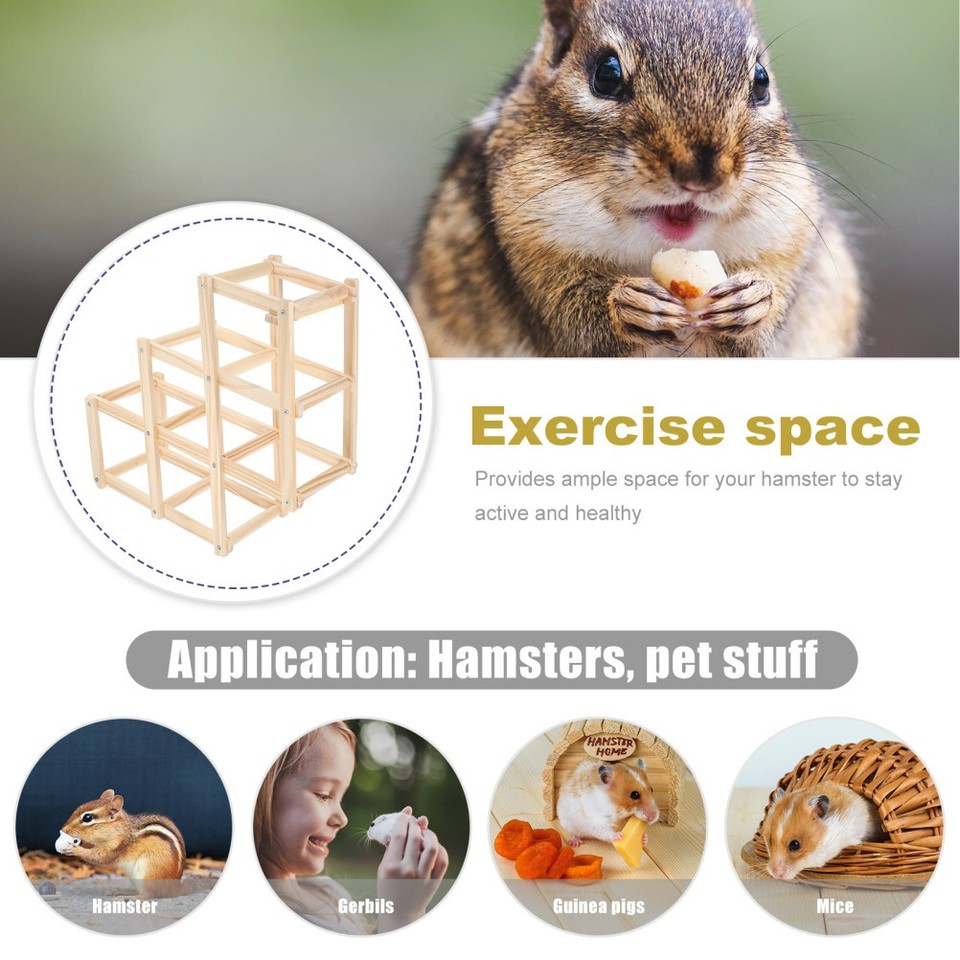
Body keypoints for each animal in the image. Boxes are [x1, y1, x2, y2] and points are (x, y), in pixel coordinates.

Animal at [409, 0, 862, 358]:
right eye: (606, 75)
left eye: (761, 81)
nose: (702, 175)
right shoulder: (525, 240)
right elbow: (570, 317)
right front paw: (627, 305)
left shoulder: (787, 232)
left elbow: (773, 302)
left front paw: (754, 299)